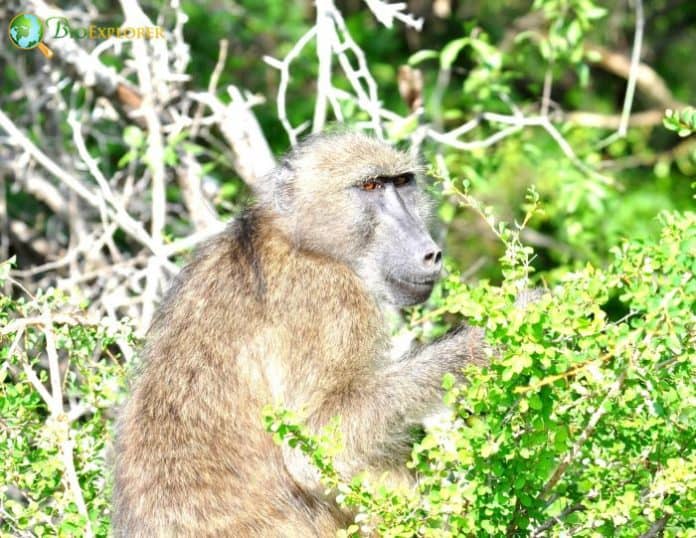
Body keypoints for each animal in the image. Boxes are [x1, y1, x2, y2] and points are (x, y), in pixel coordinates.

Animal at [112, 132, 491, 537]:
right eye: (370, 186)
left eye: (403, 182)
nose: (430, 253)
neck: (299, 238)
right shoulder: (332, 298)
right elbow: (314, 446)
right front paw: (482, 344)